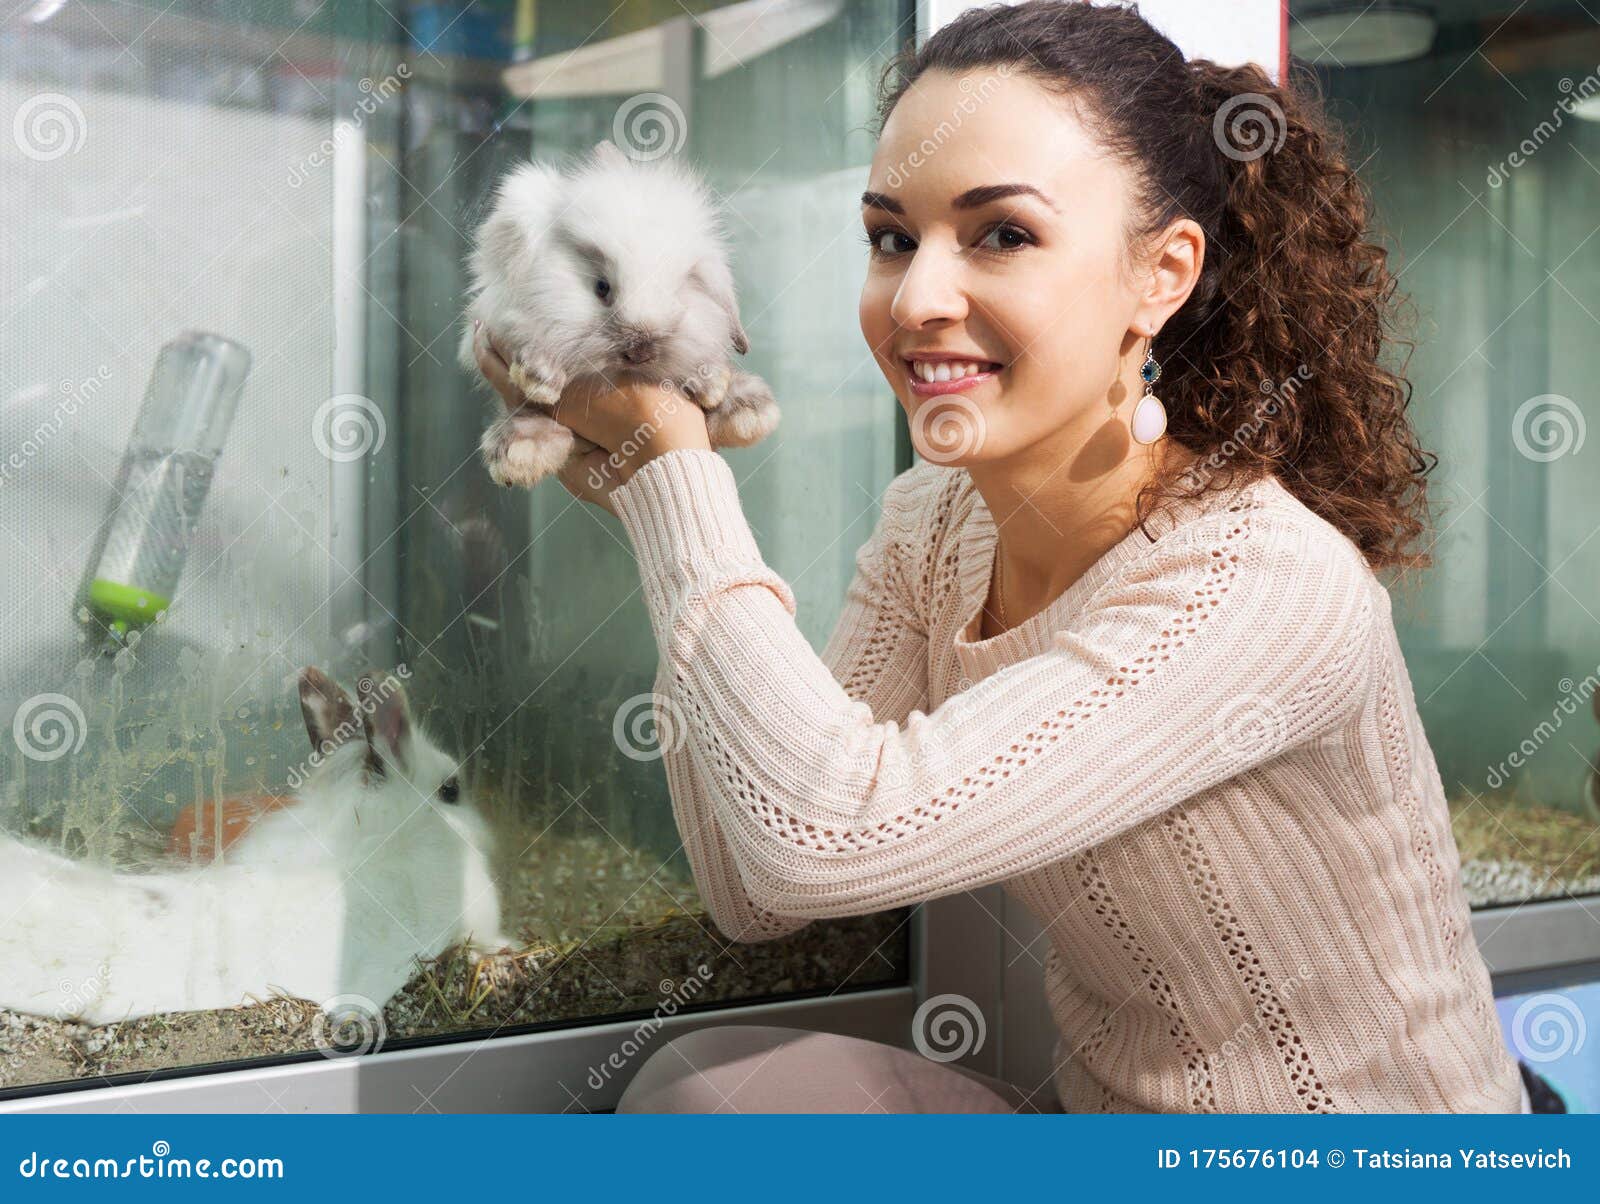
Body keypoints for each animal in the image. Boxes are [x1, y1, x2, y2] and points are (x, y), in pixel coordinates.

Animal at [457, 138, 780, 488]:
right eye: (601, 287)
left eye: (679, 293)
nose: (640, 352)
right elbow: (522, 332)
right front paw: (541, 376)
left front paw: (710, 380)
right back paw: (523, 448)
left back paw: (744, 409)